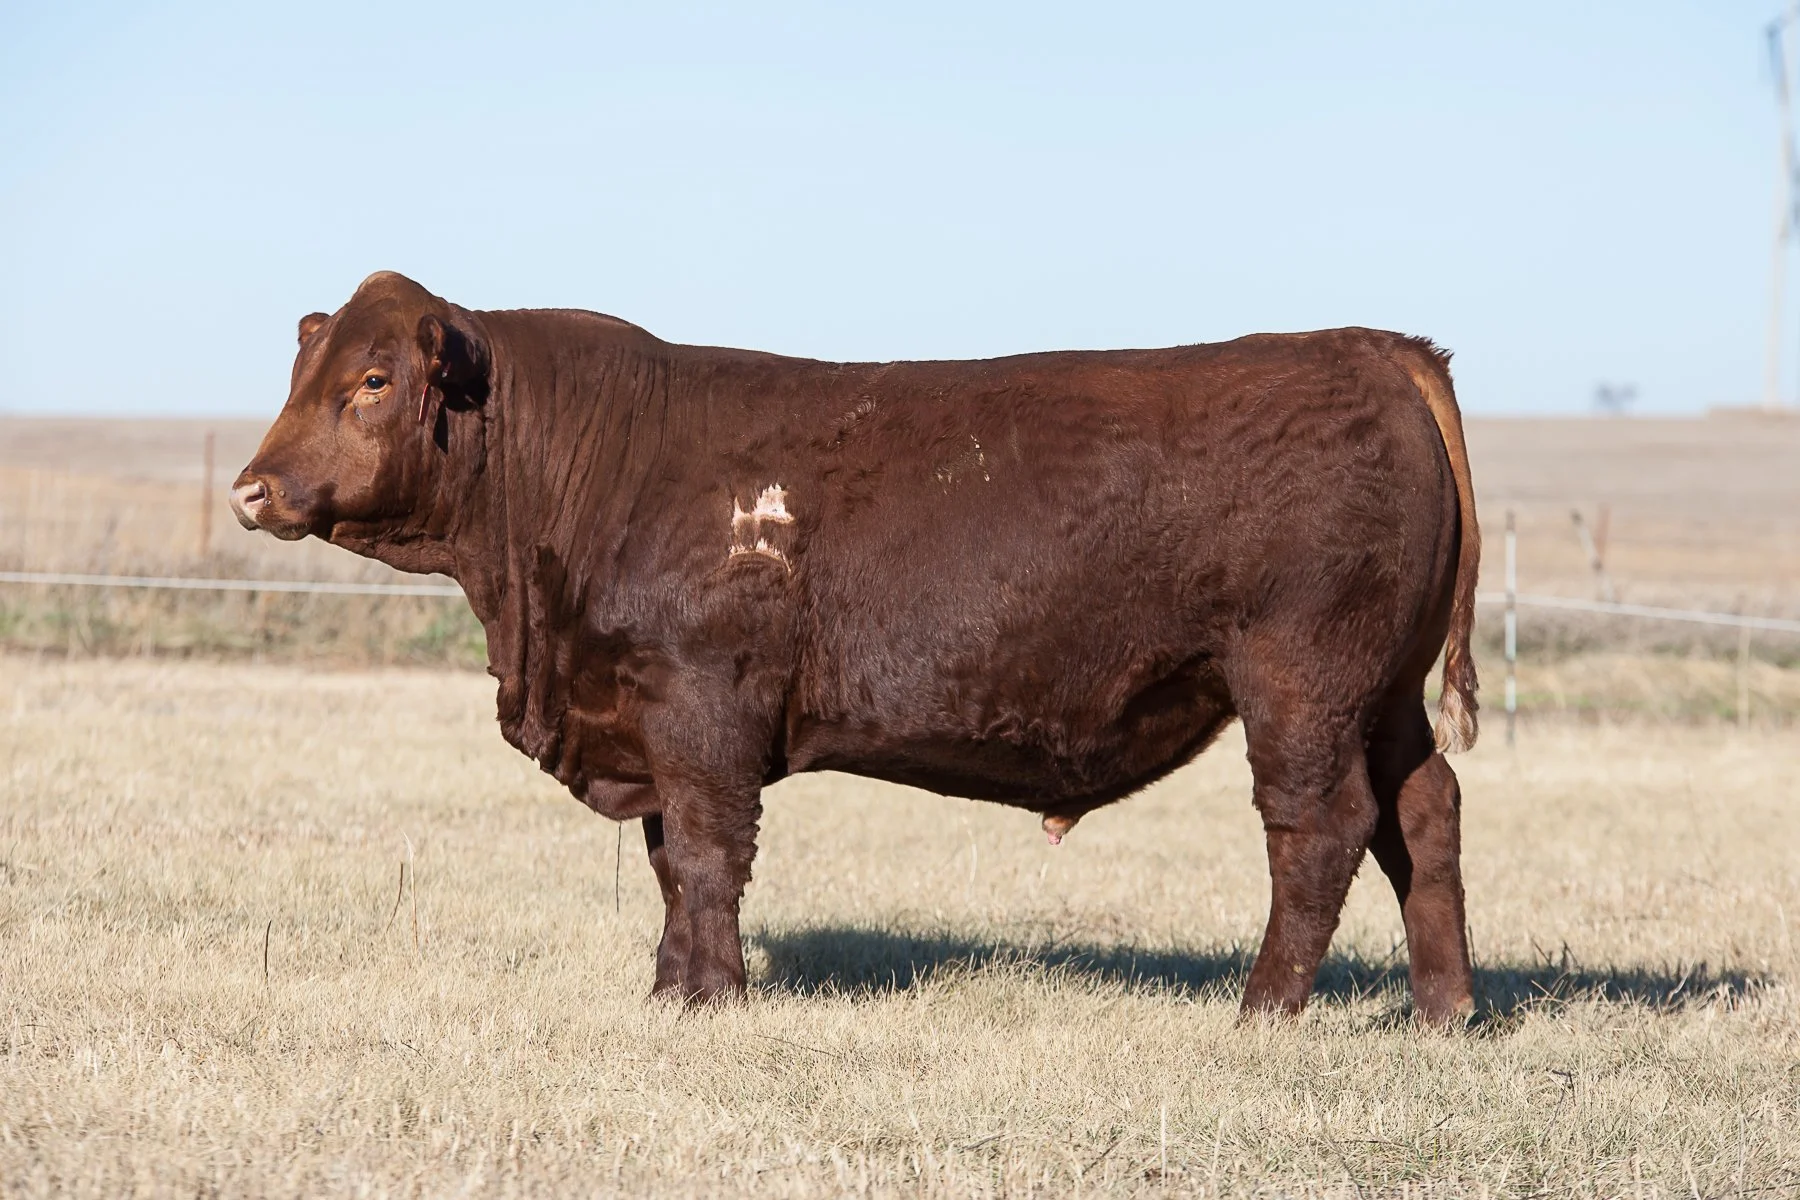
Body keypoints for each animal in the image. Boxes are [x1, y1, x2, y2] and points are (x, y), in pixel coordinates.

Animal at [232, 271, 1481, 1024]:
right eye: (304, 375)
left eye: (374, 380)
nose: (252, 489)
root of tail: (1371, 348)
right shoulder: (650, 721)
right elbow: (670, 864)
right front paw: (669, 989)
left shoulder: (702, 710)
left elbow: (705, 857)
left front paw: (710, 997)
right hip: (1386, 693)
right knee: (1423, 813)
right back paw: (1445, 1011)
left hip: (1302, 682)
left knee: (1319, 830)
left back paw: (1265, 1008)